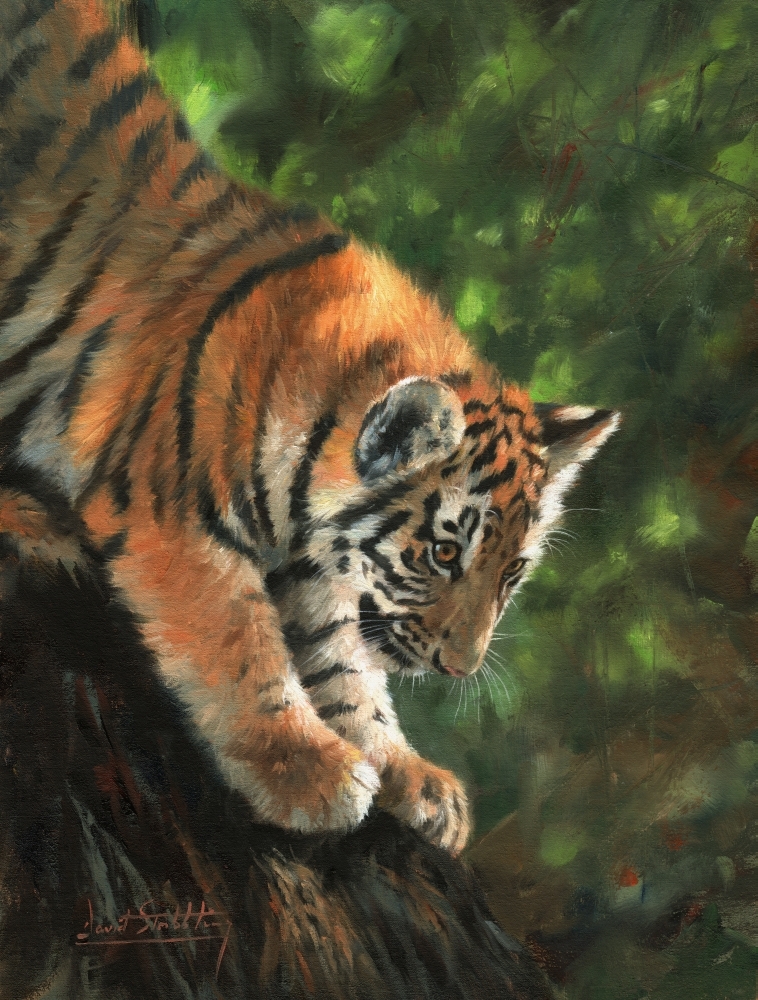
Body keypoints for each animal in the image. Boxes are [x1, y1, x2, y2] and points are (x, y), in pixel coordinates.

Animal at [0, 0, 618, 855]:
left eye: (514, 572)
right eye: (444, 552)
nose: (461, 670)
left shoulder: (317, 565)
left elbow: (341, 664)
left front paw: (410, 776)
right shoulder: (171, 519)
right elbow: (240, 645)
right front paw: (308, 774)